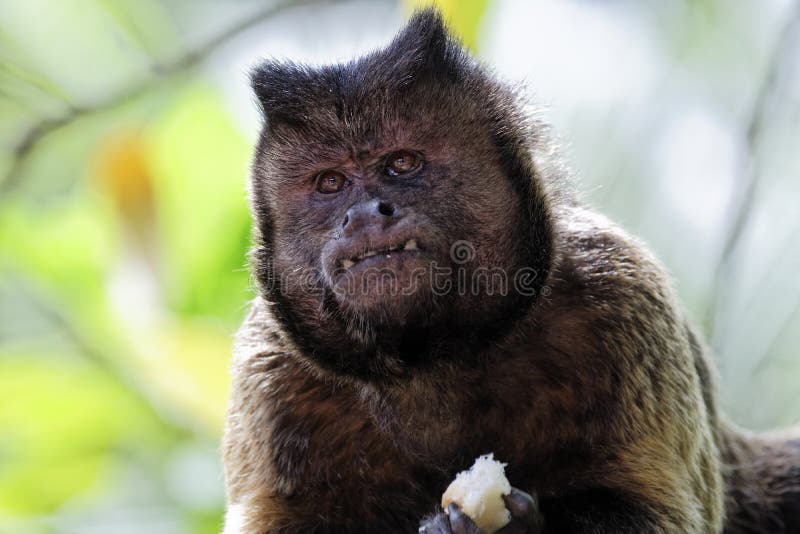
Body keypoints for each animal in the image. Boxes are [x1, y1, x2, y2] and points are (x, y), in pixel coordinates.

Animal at [221, 9, 800, 534]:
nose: (364, 213)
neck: (432, 367)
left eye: (402, 164)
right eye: (331, 183)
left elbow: (656, 514)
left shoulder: (622, 295)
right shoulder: (270, 374)